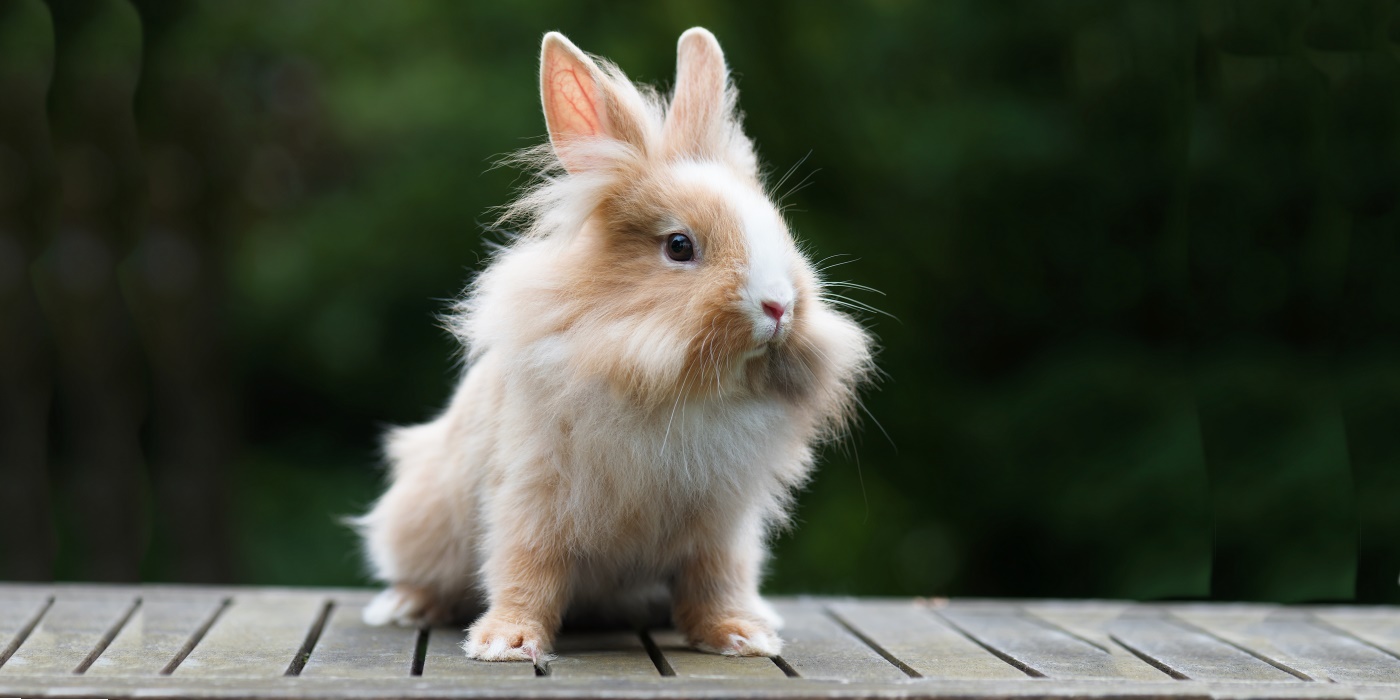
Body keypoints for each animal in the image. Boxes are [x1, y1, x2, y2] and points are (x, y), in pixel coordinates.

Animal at [354, 27, 875, 662]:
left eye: (781, 232)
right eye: (679, 246)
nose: (778, 307)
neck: (677, 387)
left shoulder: (722, 524)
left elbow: (716, 581)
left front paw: (741, 636)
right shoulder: (533, 496)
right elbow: (527, 569)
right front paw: (507, 642)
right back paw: (404, 606)